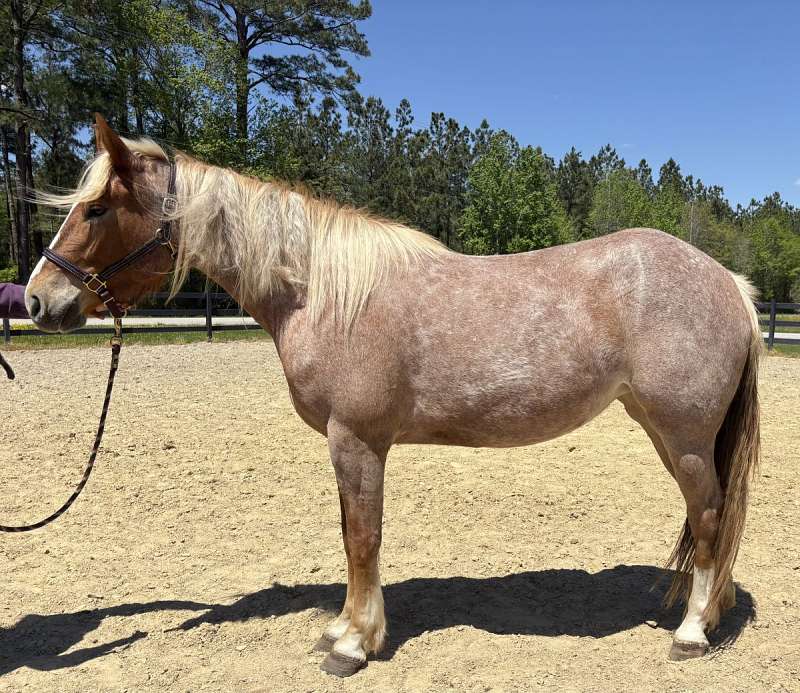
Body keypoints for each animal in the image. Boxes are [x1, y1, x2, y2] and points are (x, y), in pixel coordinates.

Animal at [25, 115, 761, 677]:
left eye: (96, 208)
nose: (35, 299)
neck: (321, 291)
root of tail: (729, 282)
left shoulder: (357, 440)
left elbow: (362, 537)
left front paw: (353, 644)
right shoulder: (349, 444)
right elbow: (351, 534)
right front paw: (344, 628)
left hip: (684, 436)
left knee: (710, 516)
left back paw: (692, 632)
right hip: (665, 432)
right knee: (708, 518)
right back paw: (707, 614)